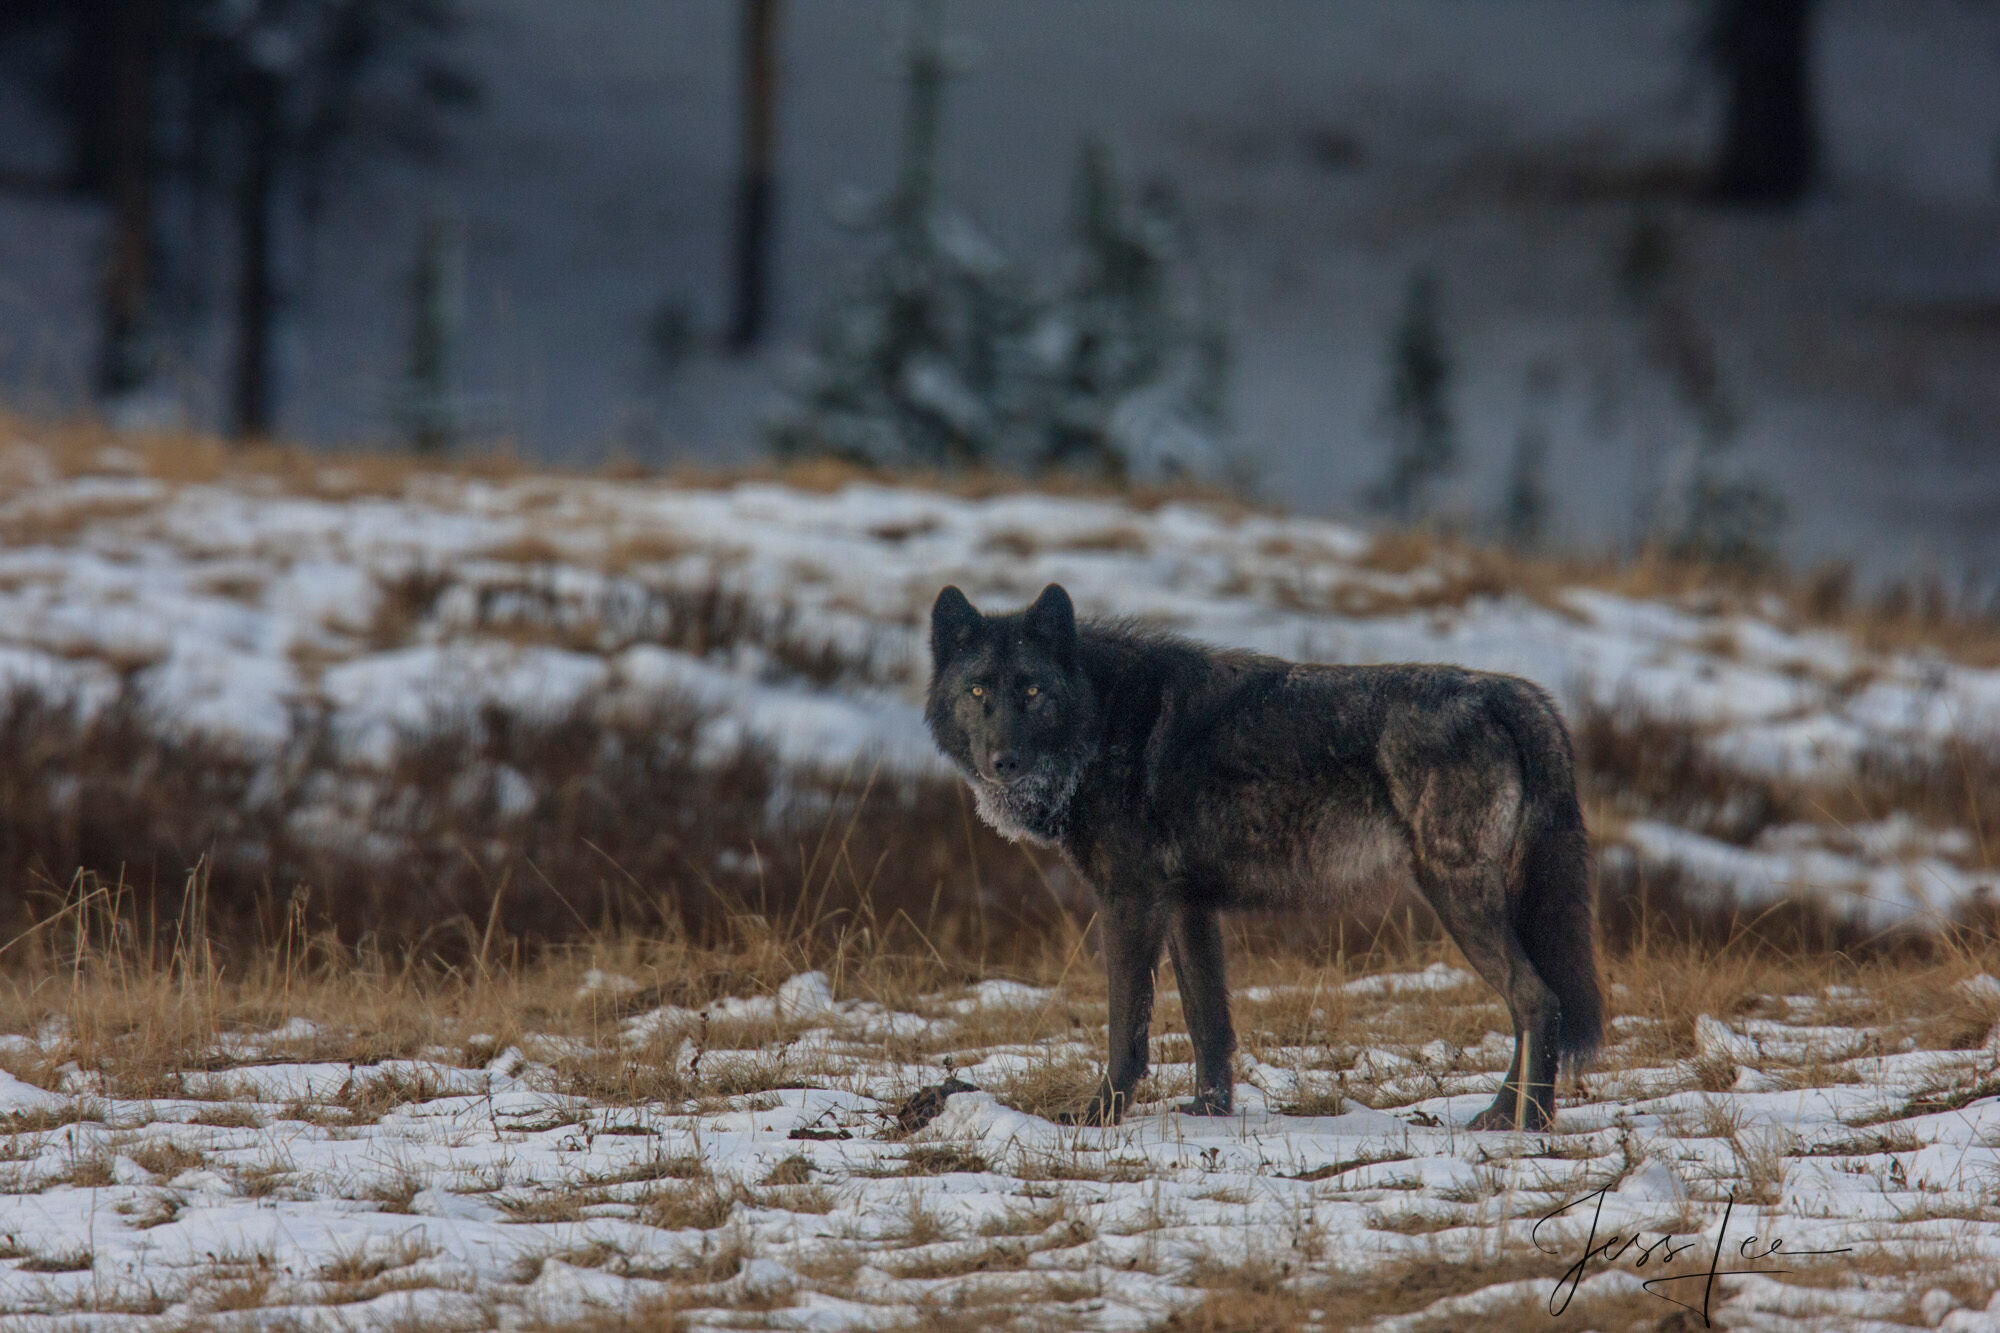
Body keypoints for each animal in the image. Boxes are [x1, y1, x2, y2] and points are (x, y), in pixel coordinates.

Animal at [924, 582, 1602, 1130]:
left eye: (1033, 690)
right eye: (977, 690)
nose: (1004, 761)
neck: (1104, 717)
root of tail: (1515, 695)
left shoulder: (1130, 902)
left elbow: (1126, 1028)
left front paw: (1098, 1115)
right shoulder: (1187, 908)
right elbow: (1208, 1023)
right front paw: (1208, 1113)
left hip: (1457, 895)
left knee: (1536, 999)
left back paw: (1528, 1123)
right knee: (1534, 1002)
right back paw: (1501, 1114)